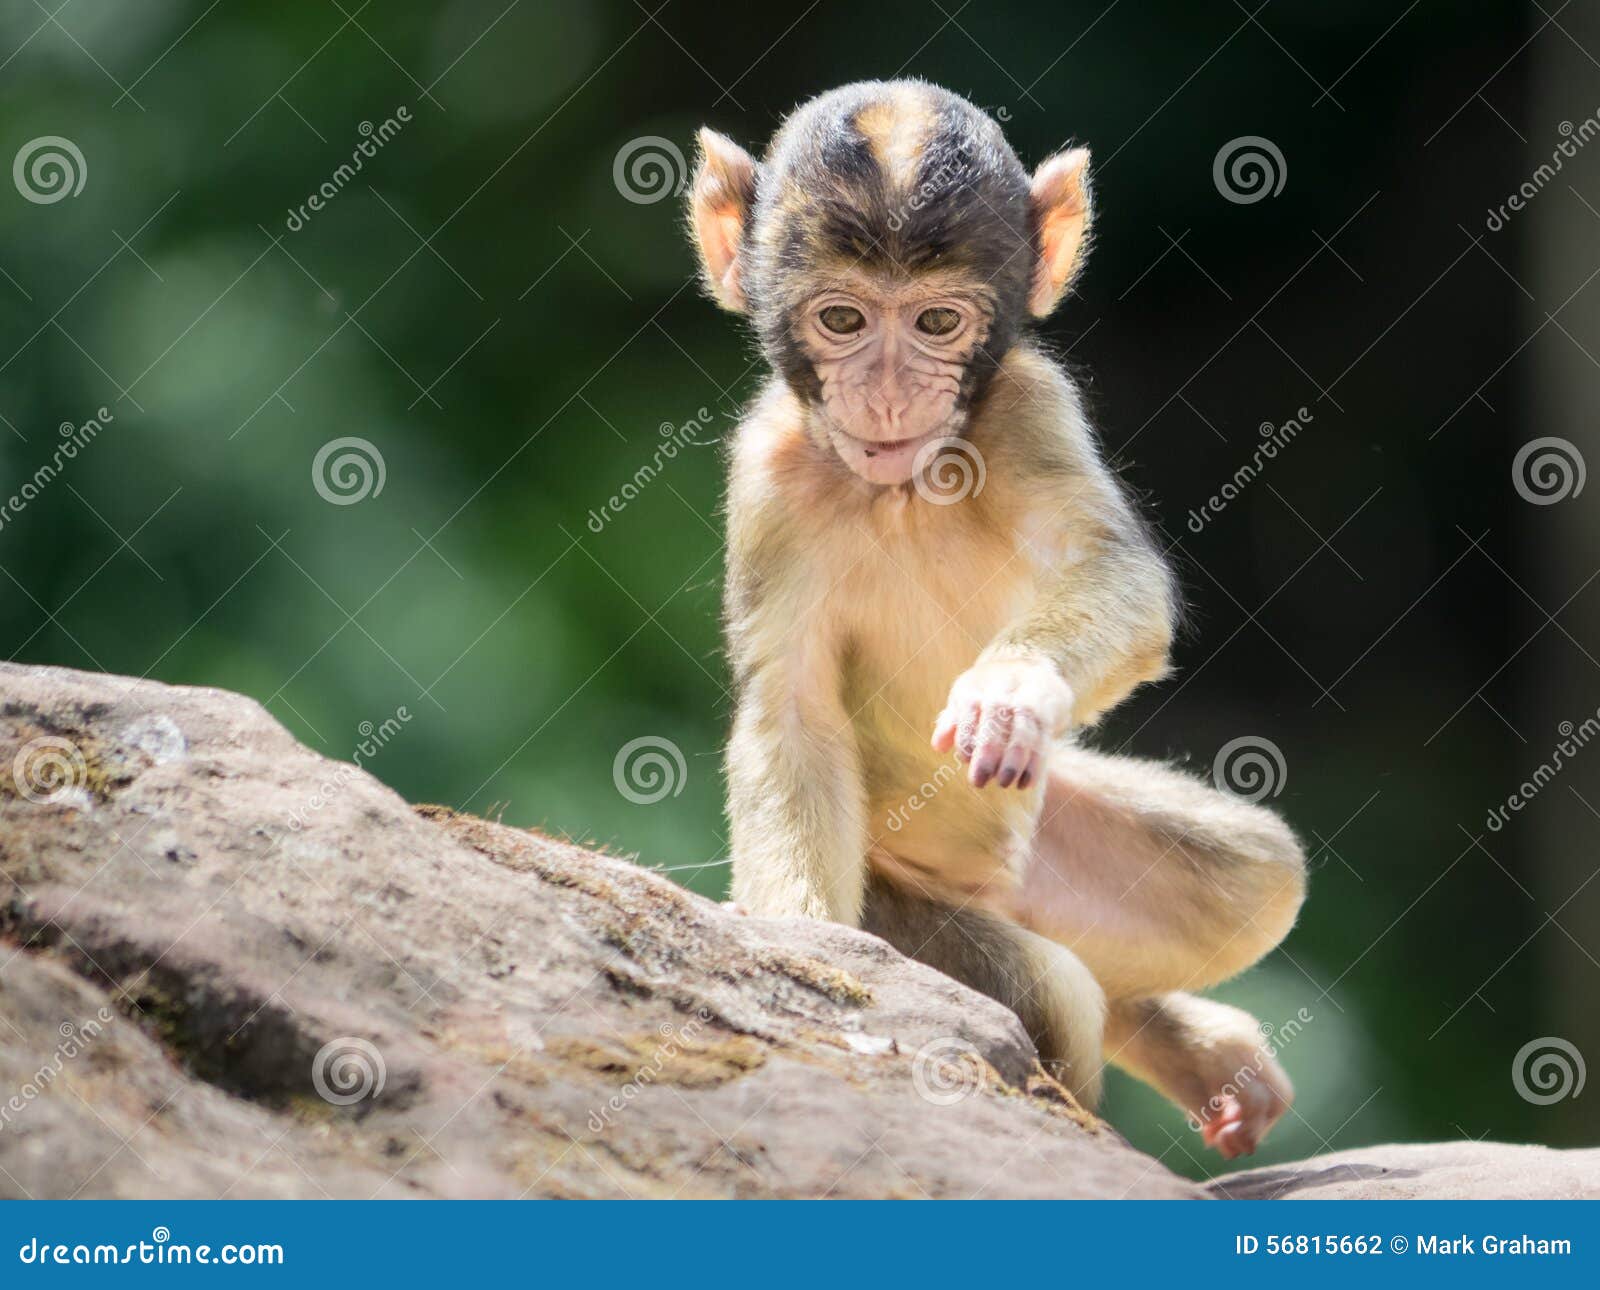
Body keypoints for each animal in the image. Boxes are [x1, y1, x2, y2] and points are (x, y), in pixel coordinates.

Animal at [687, 80, 1306, 1160]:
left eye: (937, 321)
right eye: (843, 318)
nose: (889, 390)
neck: (900, 488)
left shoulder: (1029, 403)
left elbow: (1116, 573)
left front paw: (1011, 690)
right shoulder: (767, 474)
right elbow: (792, 712)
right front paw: (808, 953)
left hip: (1050, 836)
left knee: (1254, 875)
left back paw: (1175, 1037)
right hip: (913, 909)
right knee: (1046, 982)